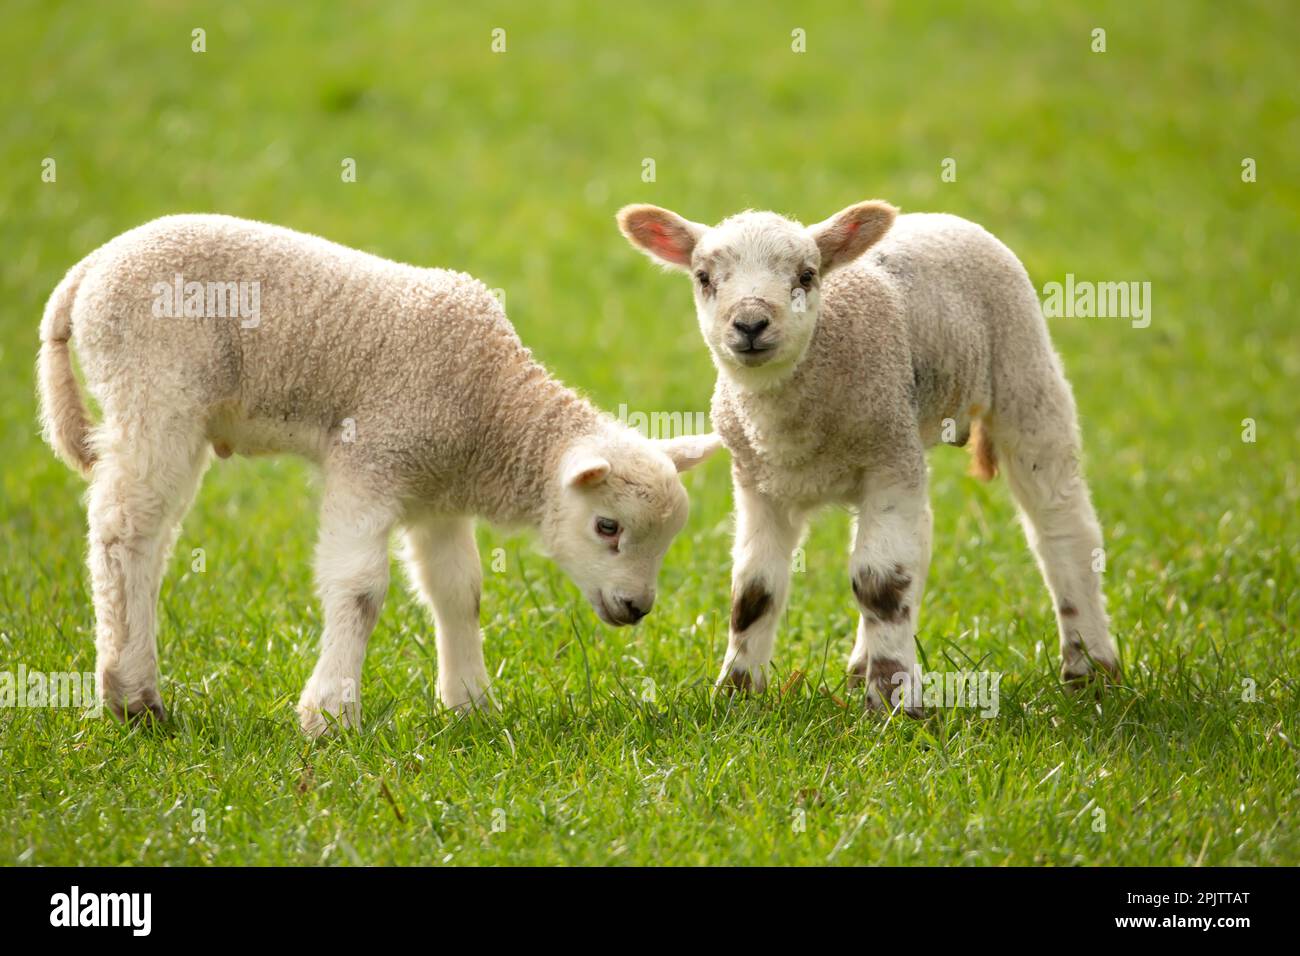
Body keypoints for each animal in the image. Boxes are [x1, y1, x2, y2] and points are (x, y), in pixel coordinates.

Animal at [37, 213, 721, 736]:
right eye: (607, 526)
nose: (636, 607)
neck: (492, 412)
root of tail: (88, 271)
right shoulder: (372, 460)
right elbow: (360, 590)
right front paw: (330, 717)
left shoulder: (437, 491)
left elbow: (460, 590)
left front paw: (470, 707)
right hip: (156, 389)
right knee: (127, 531)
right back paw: (133, 696)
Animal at [616, 201, 1120, 713]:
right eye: (703, 277)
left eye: (806, 275)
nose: (751, 324)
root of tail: (940, 216)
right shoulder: (759, 481)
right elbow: (754, 589)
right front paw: (737, 694)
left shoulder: (886, 460)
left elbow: (879, 584)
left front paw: (894, 704)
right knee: (921, 537)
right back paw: (862, 669)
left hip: (1022, 373)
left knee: (1062, 528)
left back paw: (1091, 670)